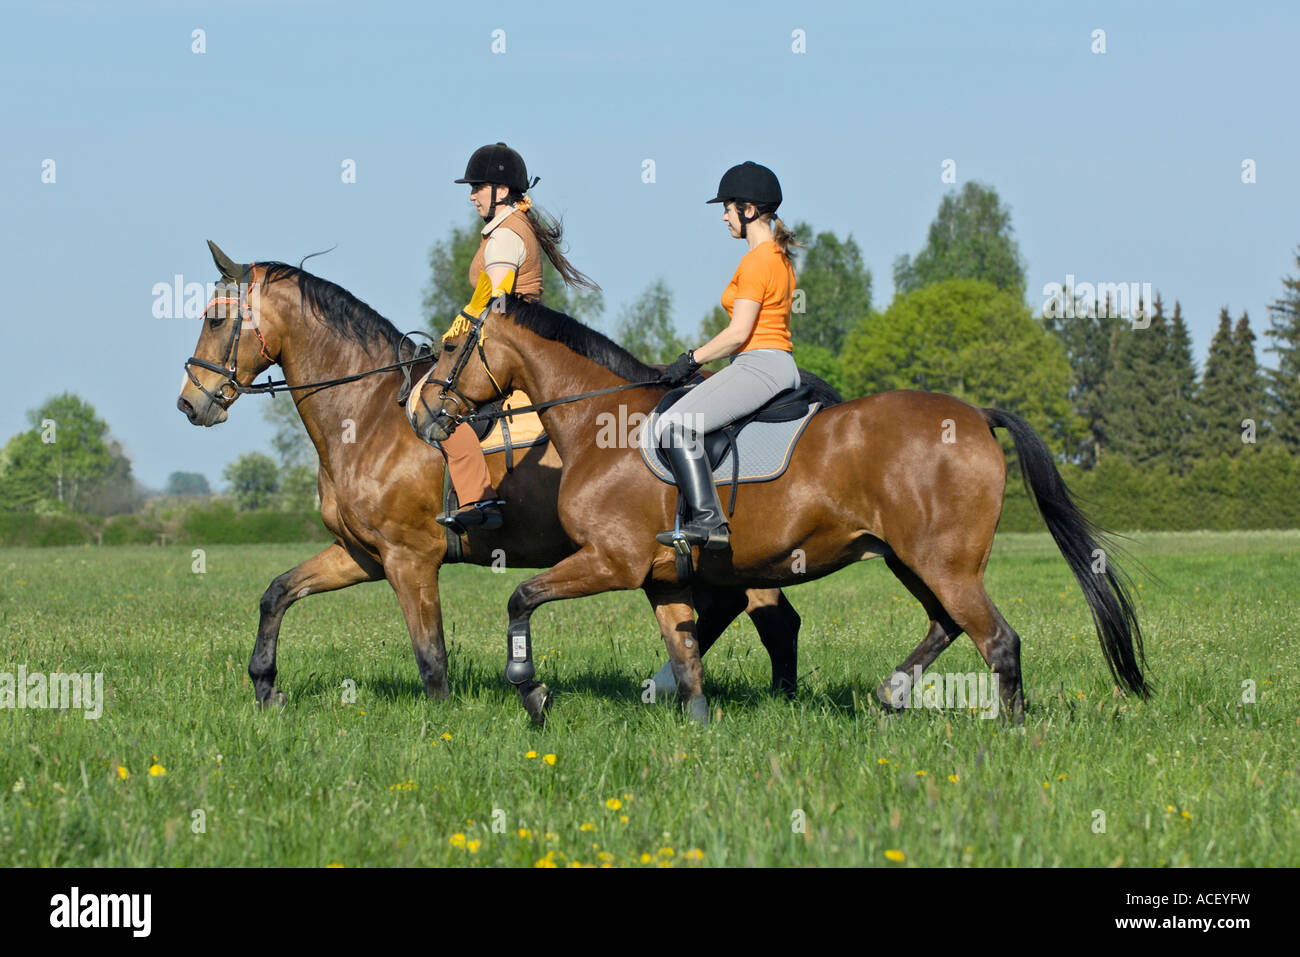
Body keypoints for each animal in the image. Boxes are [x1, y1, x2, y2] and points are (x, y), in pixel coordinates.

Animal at [176, 241, 806, 707]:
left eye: (214, 319)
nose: (190, 403)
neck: (370, 414)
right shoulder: (362, 554)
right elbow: (277, 593)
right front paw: (266, 687)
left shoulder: (409, 558)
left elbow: (431, 655)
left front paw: (443, 724)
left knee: (769, 618)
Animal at [409, 293, 1150, 725]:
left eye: (447, 348)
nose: (419, 416)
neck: (601, 423)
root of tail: (974, 414)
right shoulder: (659, 577)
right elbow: (685, 655)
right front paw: (699, 730)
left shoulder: (611, 562)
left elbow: (521, 599)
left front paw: (531, 693)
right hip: (911, 558)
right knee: (946, 623)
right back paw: (889, 696)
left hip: (944, 562)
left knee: (997, 640)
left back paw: (1010, 735)